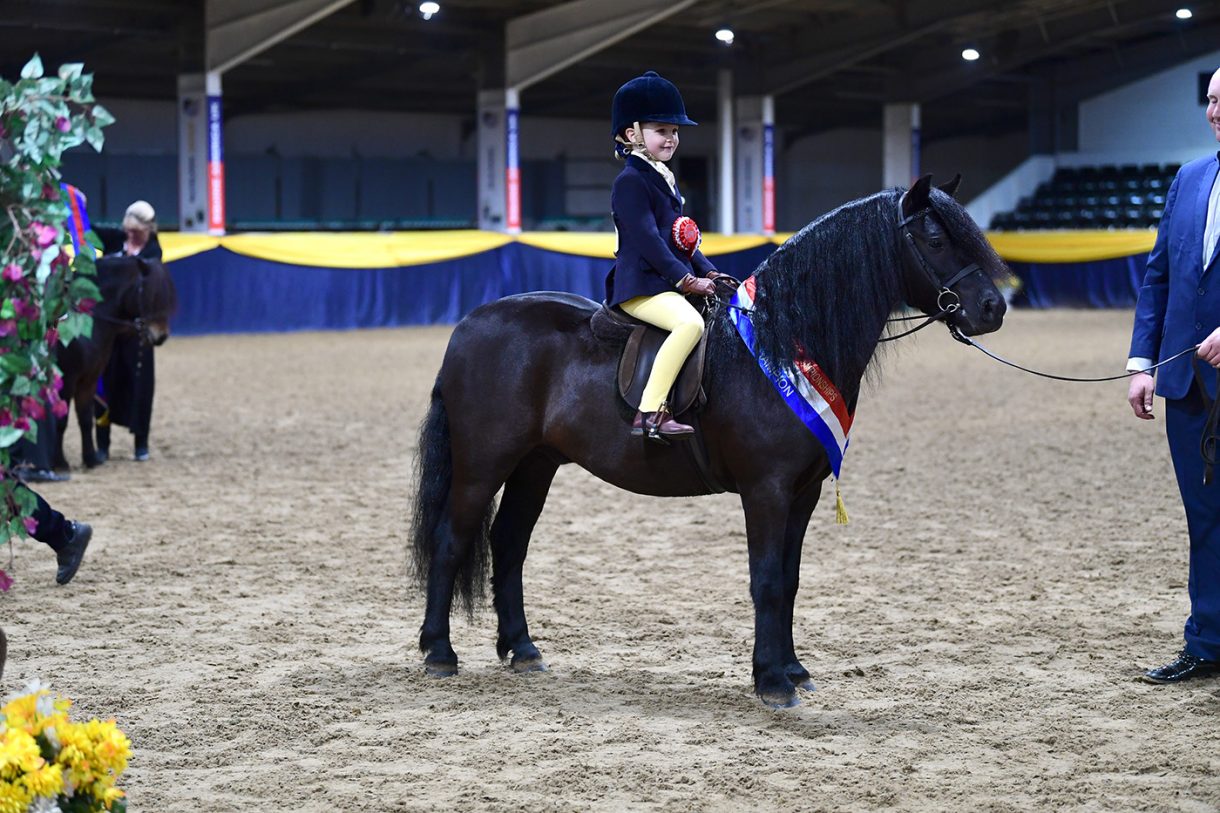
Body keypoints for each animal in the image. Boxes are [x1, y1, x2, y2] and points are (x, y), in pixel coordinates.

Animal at [54, 255, 177, 470]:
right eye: (149, 294)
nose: (160, 336)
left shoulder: (88, 380)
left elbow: (85, 419)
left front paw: (91, 459)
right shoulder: (67, 380)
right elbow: (62, 421)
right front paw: (60, 463)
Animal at [409, 175, 1008, 708]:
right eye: (936, 241)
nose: (993, 308)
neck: (783, 345)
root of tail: (471, 324)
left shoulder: (804, 494)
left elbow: (789, 579)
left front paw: (792, 668)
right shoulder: (766, 491)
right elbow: (766, 581)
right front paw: (773, 683)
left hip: (535, 465)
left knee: (509, 544)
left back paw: (523, 650)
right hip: (483, 463)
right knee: (451, 540)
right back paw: (439, 653)